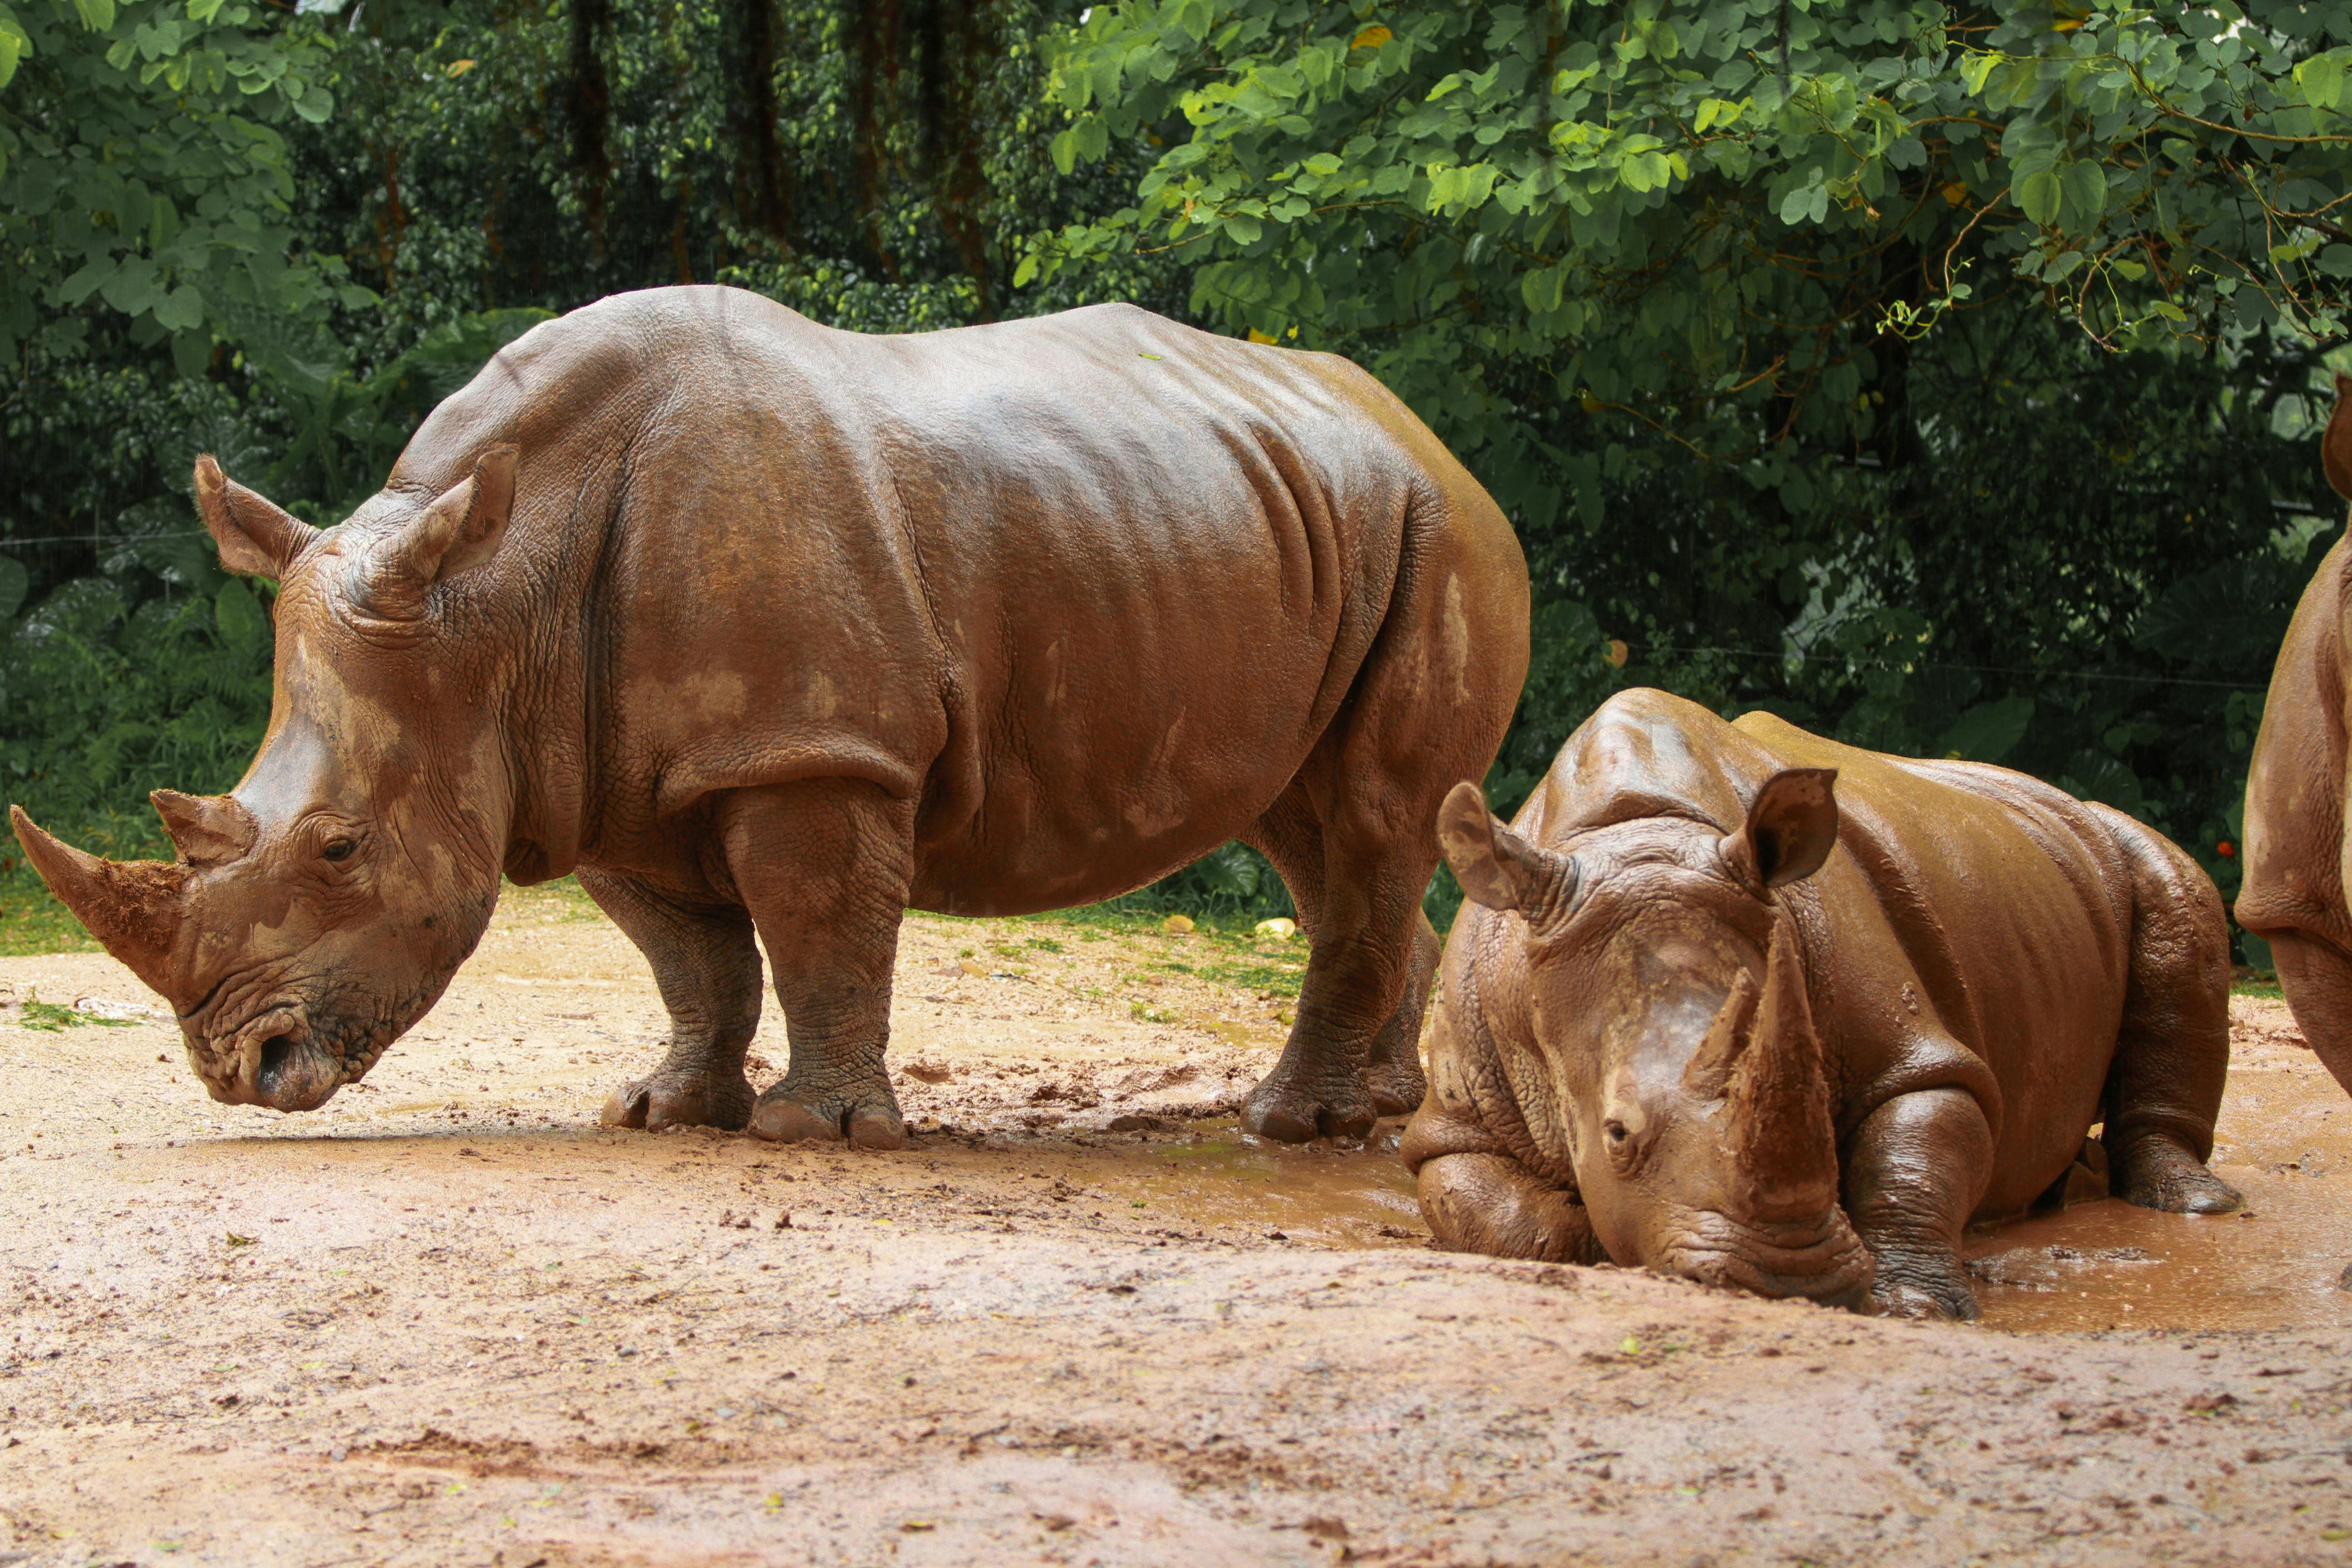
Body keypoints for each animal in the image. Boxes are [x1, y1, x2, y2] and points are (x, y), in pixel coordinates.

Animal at [11, 286, 1529, 1147]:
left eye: (337, 850)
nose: (236, 1069)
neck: (494, 603)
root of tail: (1439, 440)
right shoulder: (599, 770)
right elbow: (691, 960)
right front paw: (660, 1114)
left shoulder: (813, 753)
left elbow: (814, 930)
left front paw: (824, 1133)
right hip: (1280, 523)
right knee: (1318, 828)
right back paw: (1390, 1111)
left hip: (1441, 537)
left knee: (1370, 821)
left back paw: (1297, 1128)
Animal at [1404, 688, 2241, 1317]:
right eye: (1615, 1134)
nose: (1789, 1281)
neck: (1635, 836)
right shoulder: (1456, 1114)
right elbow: (1503, 1214)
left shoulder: (1916, 1056)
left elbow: (1919, 1136)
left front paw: (1914, 1305)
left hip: (2120, 839)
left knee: (2173, 891)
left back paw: (2194, 1207)